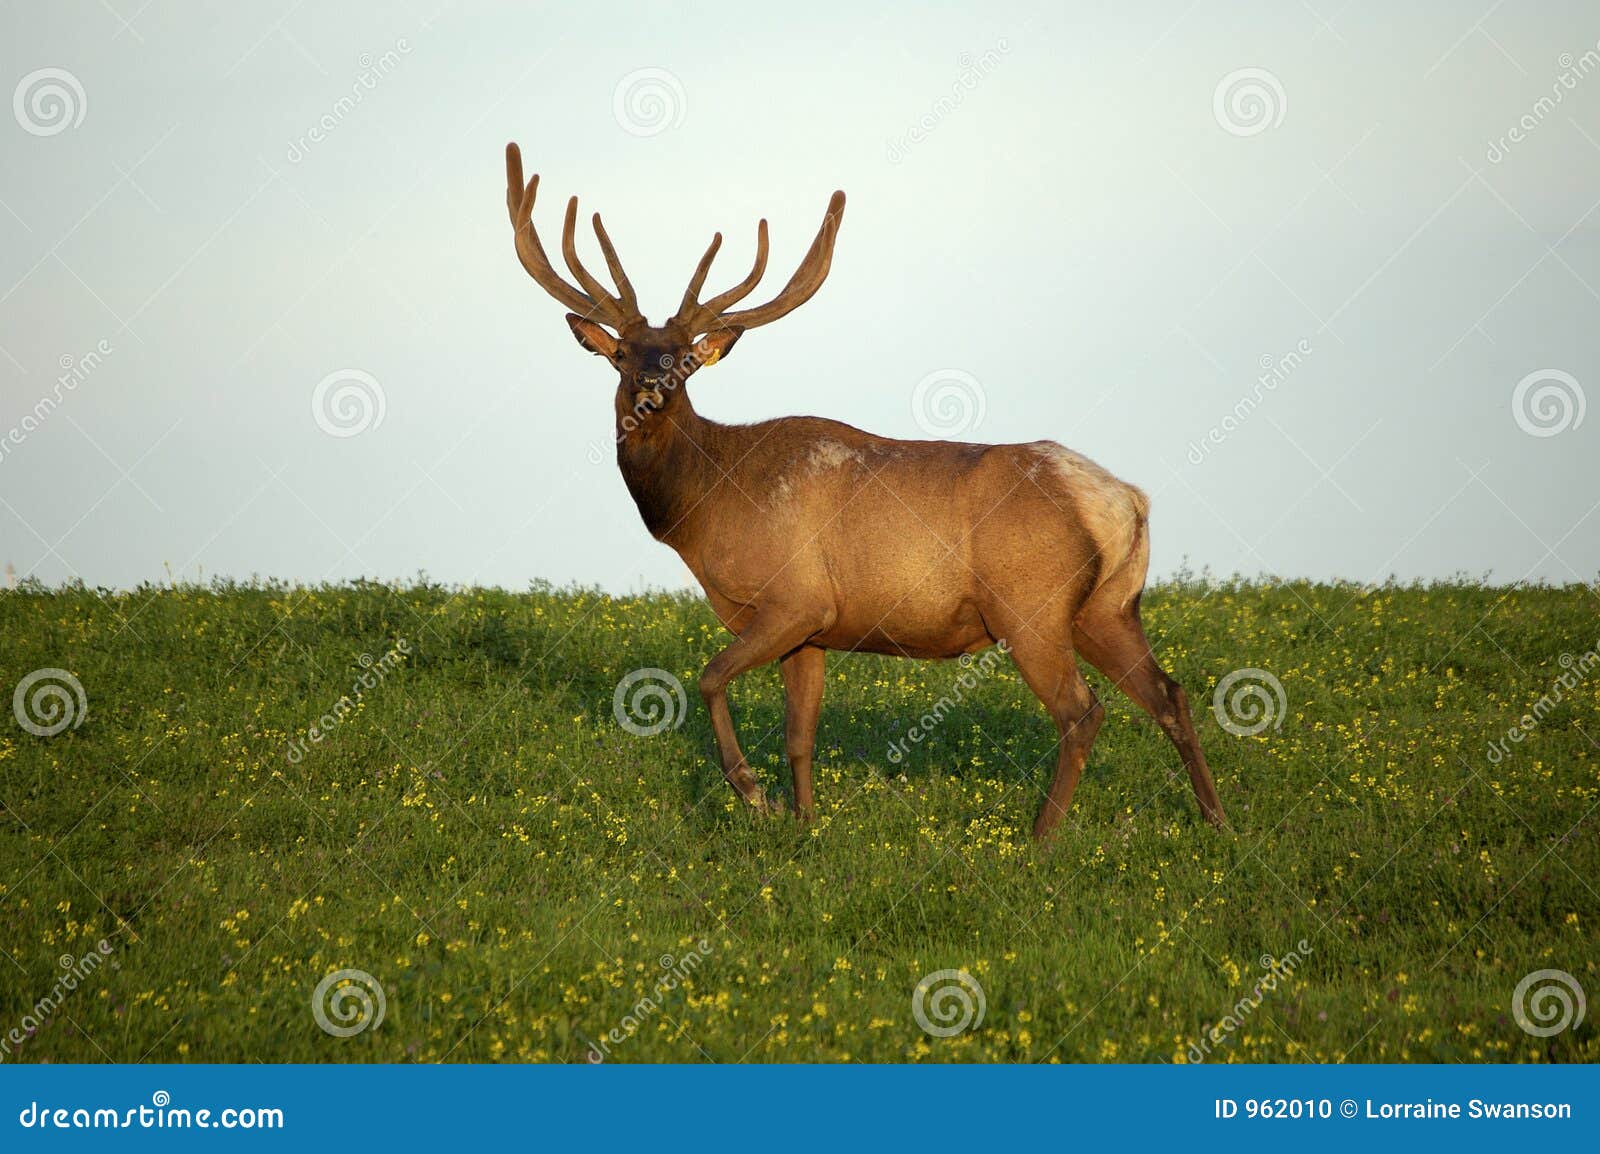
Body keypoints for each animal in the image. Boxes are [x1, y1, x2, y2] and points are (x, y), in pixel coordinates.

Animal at [503, 142, 1226, 840]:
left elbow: (709, 677)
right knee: (1170, 693)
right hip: (1109, 606)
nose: (650, 393)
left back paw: (1040, 840)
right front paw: (804, 826)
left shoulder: (792, 598)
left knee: (1082, 711)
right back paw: (1216, 822)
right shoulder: (815, 627)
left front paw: (755, 798)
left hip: (1032, 606)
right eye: (622, 355)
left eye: (683, 360)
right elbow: (800, 735)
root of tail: (1125, 503)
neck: (703, 510)